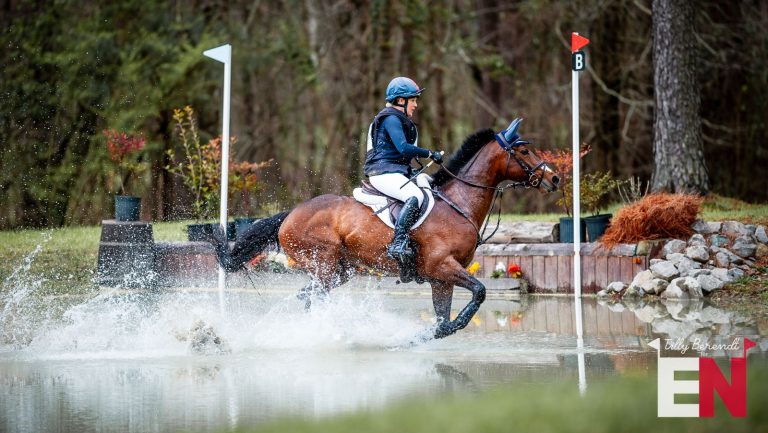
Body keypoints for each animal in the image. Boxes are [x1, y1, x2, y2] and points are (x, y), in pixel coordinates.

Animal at [211, 119, 560, 339]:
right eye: (524, 151)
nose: (554, 178)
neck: (458, 202)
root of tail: (290, 215)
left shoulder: (440, 278)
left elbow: (443, 315)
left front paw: (431, 334)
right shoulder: (443, 266)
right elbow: (480, 292)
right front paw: (441, 330)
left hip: (340, 269)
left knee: (308, 296)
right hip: (323, 262)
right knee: (315, 297)